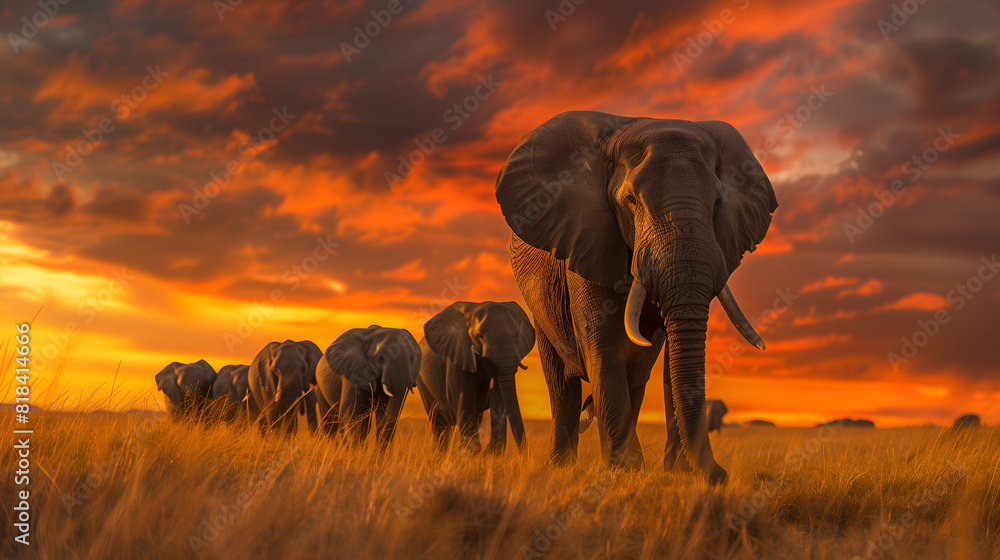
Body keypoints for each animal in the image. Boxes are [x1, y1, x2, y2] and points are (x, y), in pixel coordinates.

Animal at [416, 301, 535, 454]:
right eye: (480, 336)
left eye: (516, 335)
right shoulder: (458, 352)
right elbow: (463, 399)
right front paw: (472, 453)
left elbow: (499, 396)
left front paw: (492, 452)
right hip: (422, 382)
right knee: (439, 421)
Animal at [495, 111, 777, 483]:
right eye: (629, 202)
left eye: (718, 204)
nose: (721, 475)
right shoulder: (586, 239)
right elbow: (604, 345)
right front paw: (624, 472)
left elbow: (670, 355)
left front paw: (678, 476)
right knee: (562, 383)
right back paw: (562, 466)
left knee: (636, 375)